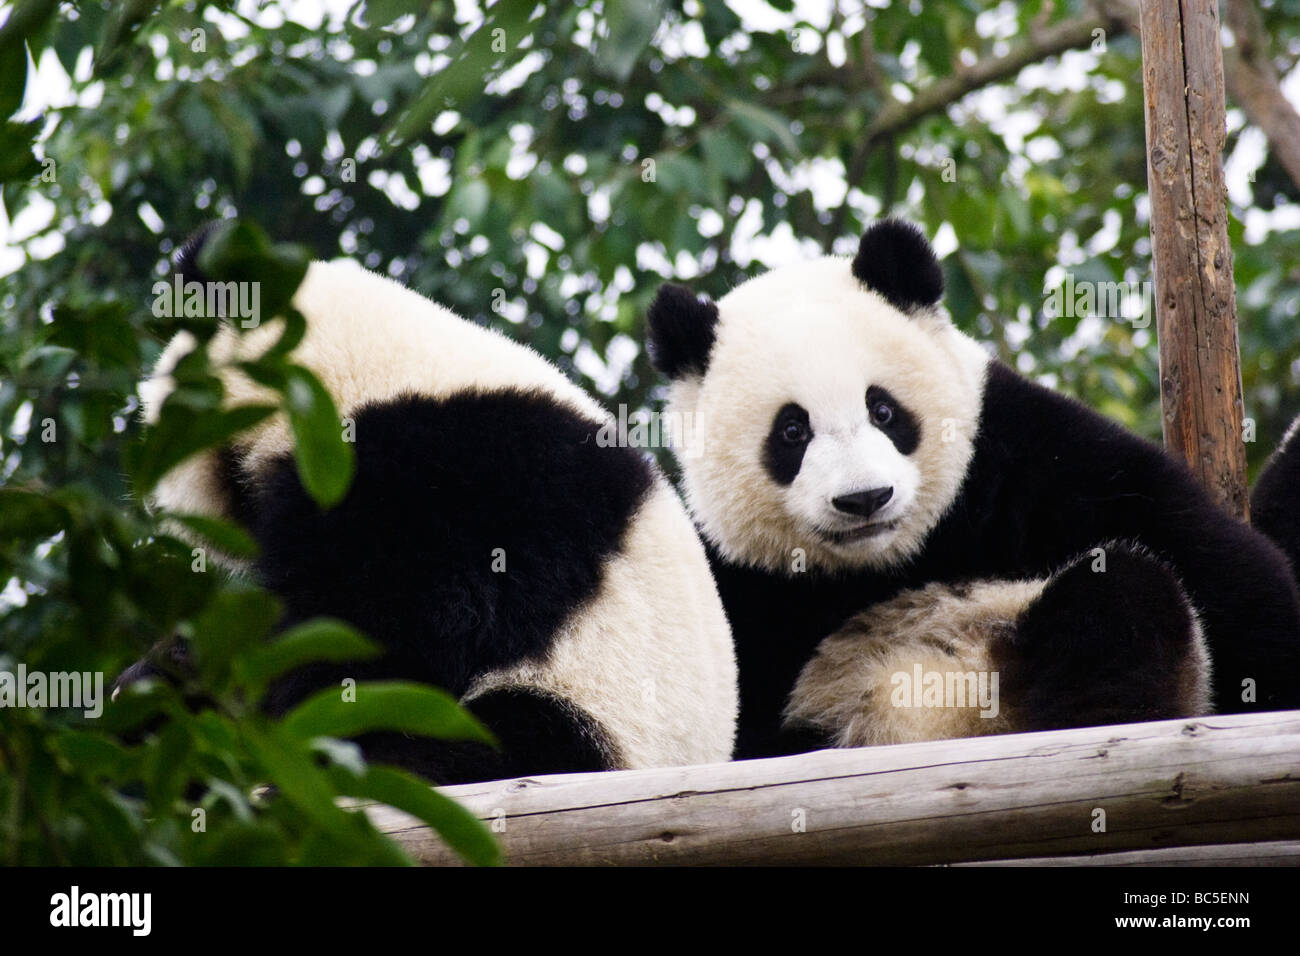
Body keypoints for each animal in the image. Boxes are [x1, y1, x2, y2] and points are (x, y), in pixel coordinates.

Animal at [646, 217, 1300, 759]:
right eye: (791, 431)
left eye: (884, 410)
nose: (864, 499)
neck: (889, 563)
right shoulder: (742, 579)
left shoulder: (1028, 458)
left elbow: (1221, 569)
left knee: (1124, 595)